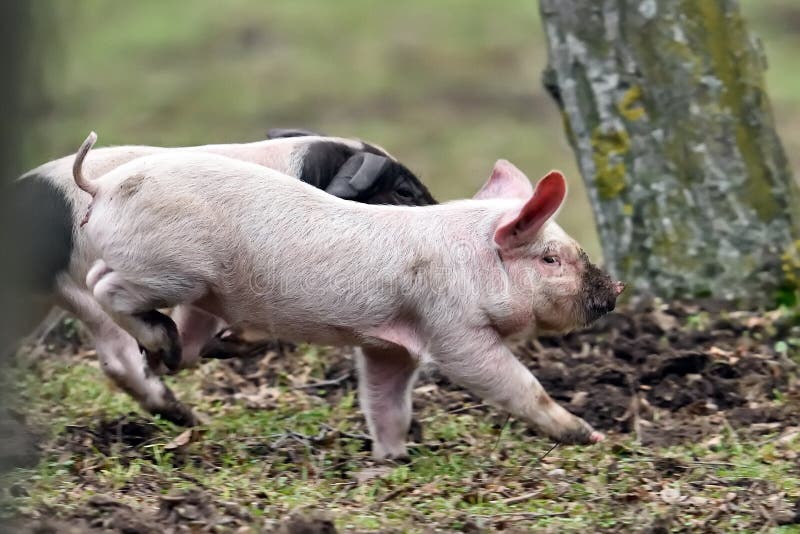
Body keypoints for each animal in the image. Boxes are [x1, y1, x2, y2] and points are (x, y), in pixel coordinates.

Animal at [74, 131, 623, 459]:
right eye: (550, 259)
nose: (614, 287)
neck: (469, 259)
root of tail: (101, 185)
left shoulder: (389, 346)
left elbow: (385, 400)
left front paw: (391, 459)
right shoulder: (451, 326)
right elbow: (507, 379)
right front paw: (589, 435)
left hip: (199, 292)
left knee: (165, 331)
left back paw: (168, 350)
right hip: (171, 271)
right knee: (101, 286)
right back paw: (158, 338)